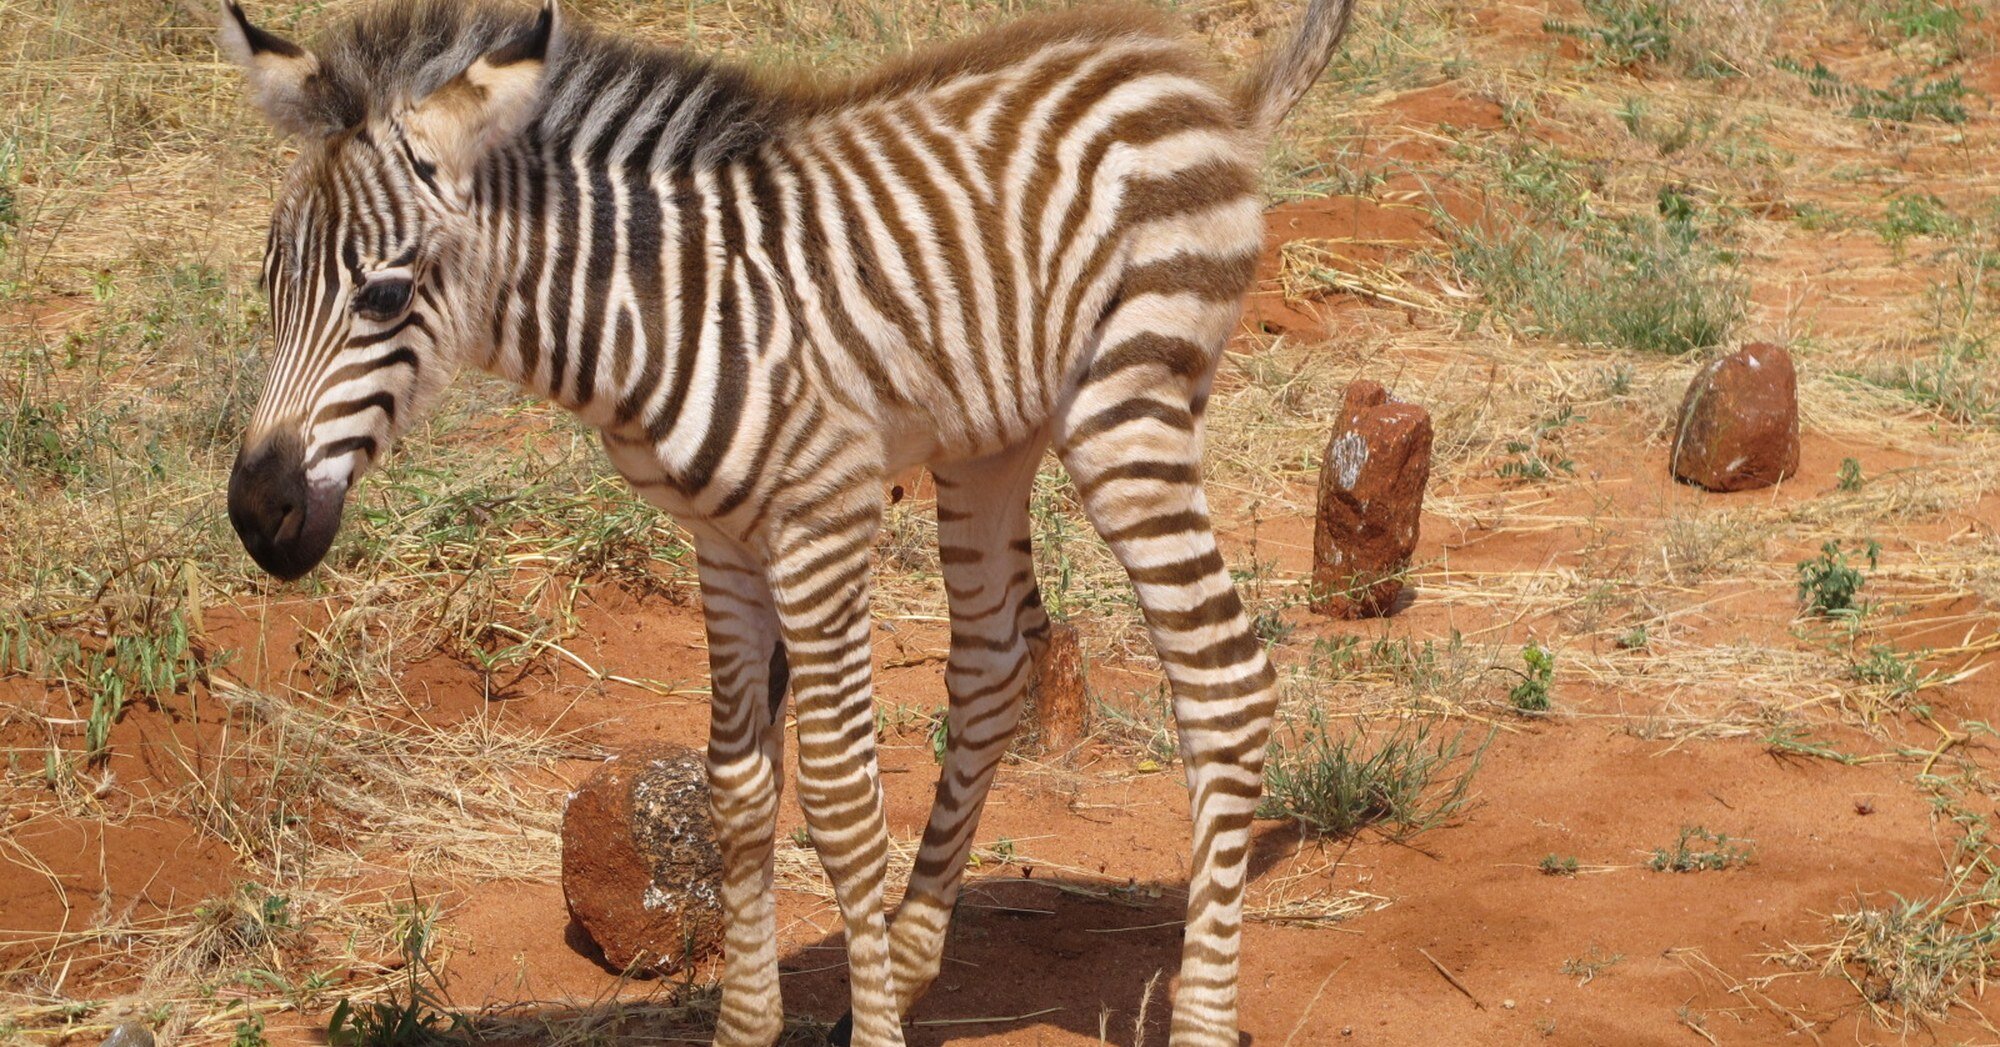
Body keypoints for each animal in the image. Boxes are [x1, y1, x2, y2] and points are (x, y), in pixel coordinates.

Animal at [217, 0, 1355, 1042]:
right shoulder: (720, 543)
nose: (258, 513)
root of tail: (1204, 88)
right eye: (267, 282)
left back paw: (1196, 1015)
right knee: (994, 667)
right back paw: (910, 958)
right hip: (991, 440)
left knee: (1224, 682)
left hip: (1127, 407)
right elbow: (738, 791)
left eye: (383, 296)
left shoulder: (823, 521)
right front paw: (751, 1022)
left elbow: (843, 807)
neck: (656, 309)